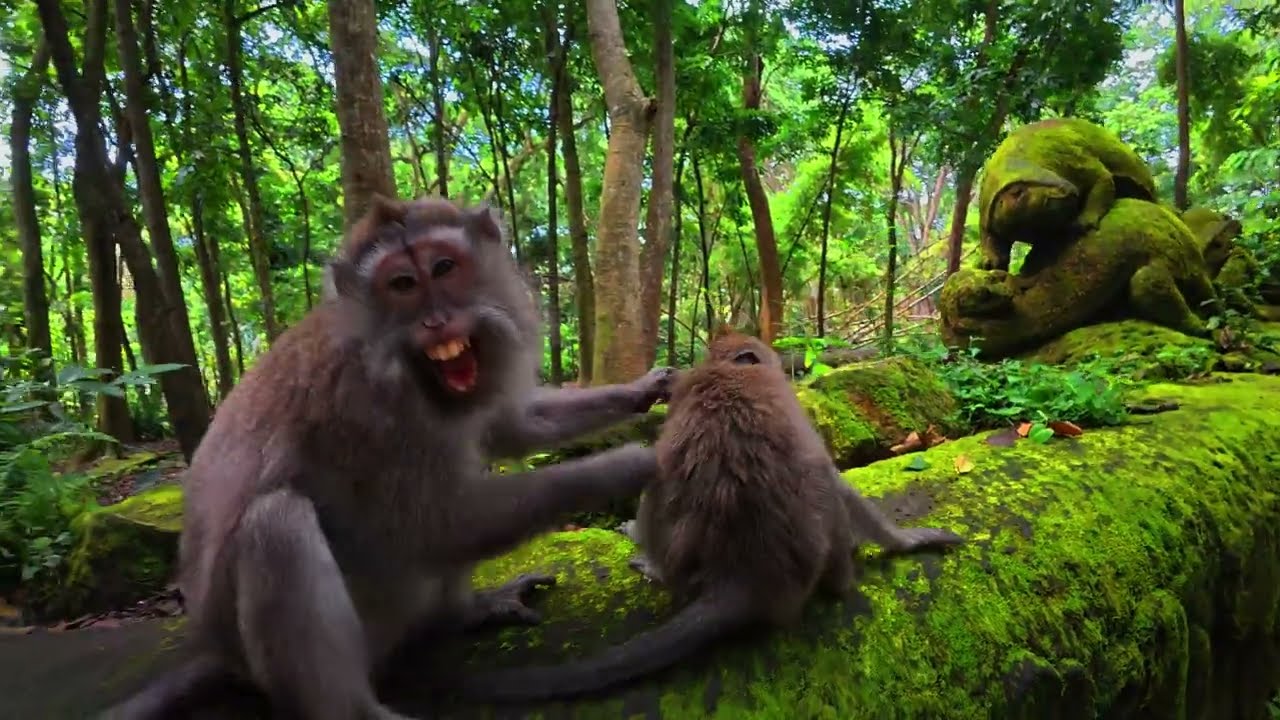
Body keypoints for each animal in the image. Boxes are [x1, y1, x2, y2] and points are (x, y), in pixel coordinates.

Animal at [100, 195, 676, 720]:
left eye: (443, 268)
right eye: (401, 284)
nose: (436, 322)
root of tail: (223, 656)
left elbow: (508, 429)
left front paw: (643, 390)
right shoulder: (363, 409)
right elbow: (437, 522)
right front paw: (631, 464)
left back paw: (461, 612)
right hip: (348, 627)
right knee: (276, 522)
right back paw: (359, 709)